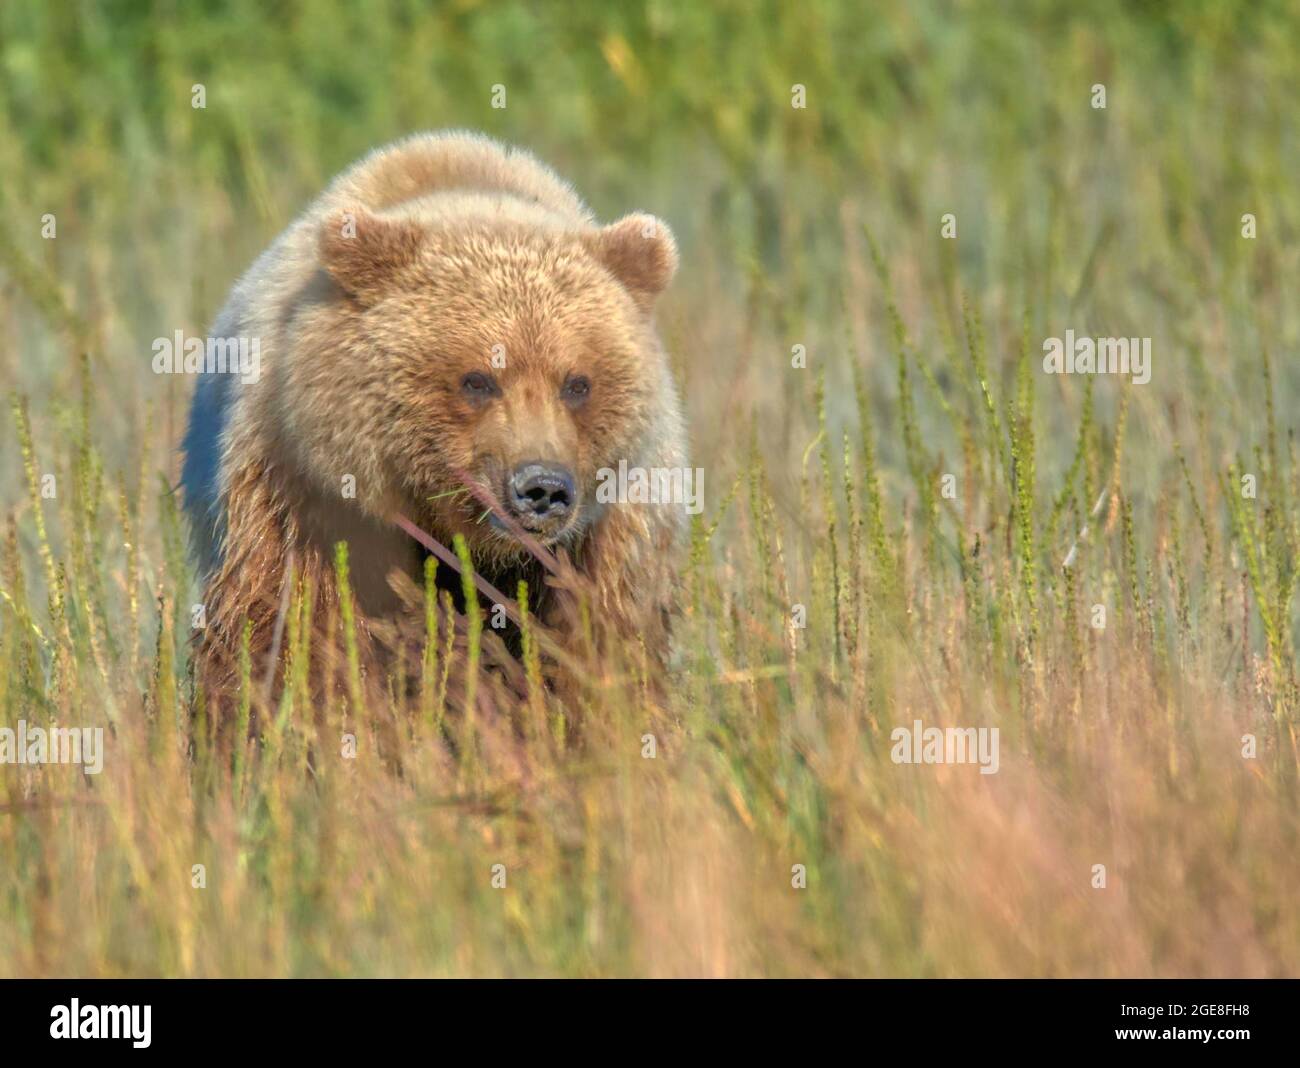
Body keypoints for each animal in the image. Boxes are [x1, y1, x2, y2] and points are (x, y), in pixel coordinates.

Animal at [181, 130, 688, 724]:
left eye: (578, 383)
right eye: (477, 380)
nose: (542, 488)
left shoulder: (604, 534)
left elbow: (597, 647)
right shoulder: (301, 496)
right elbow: (293, 633)